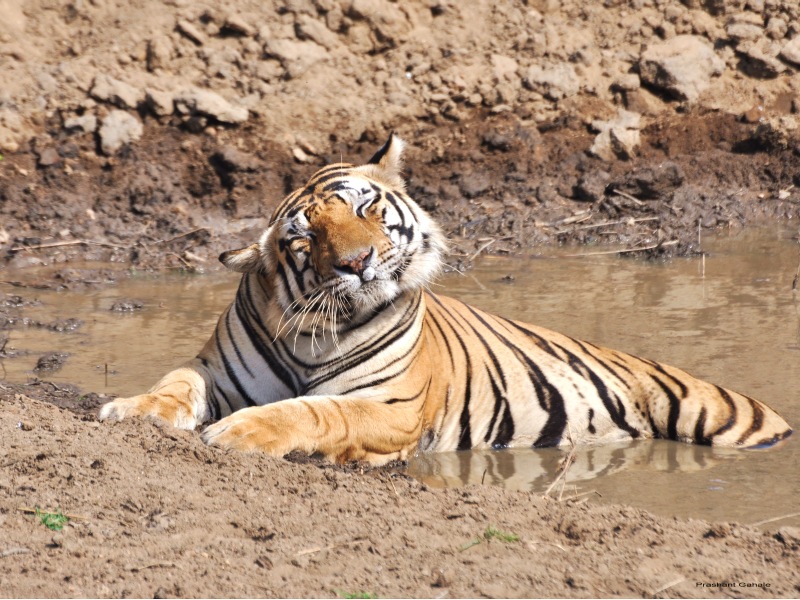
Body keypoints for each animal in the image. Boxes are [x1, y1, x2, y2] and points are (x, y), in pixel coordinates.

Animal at [99, 134, 793, 465]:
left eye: (363, 207)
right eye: (305, 238)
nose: (356, 262)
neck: (304, 331)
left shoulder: (391, 406)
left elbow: (315, 412)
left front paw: (239, 431)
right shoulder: (214, 369)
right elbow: (174, 383)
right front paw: (130, 409)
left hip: (731, 420)